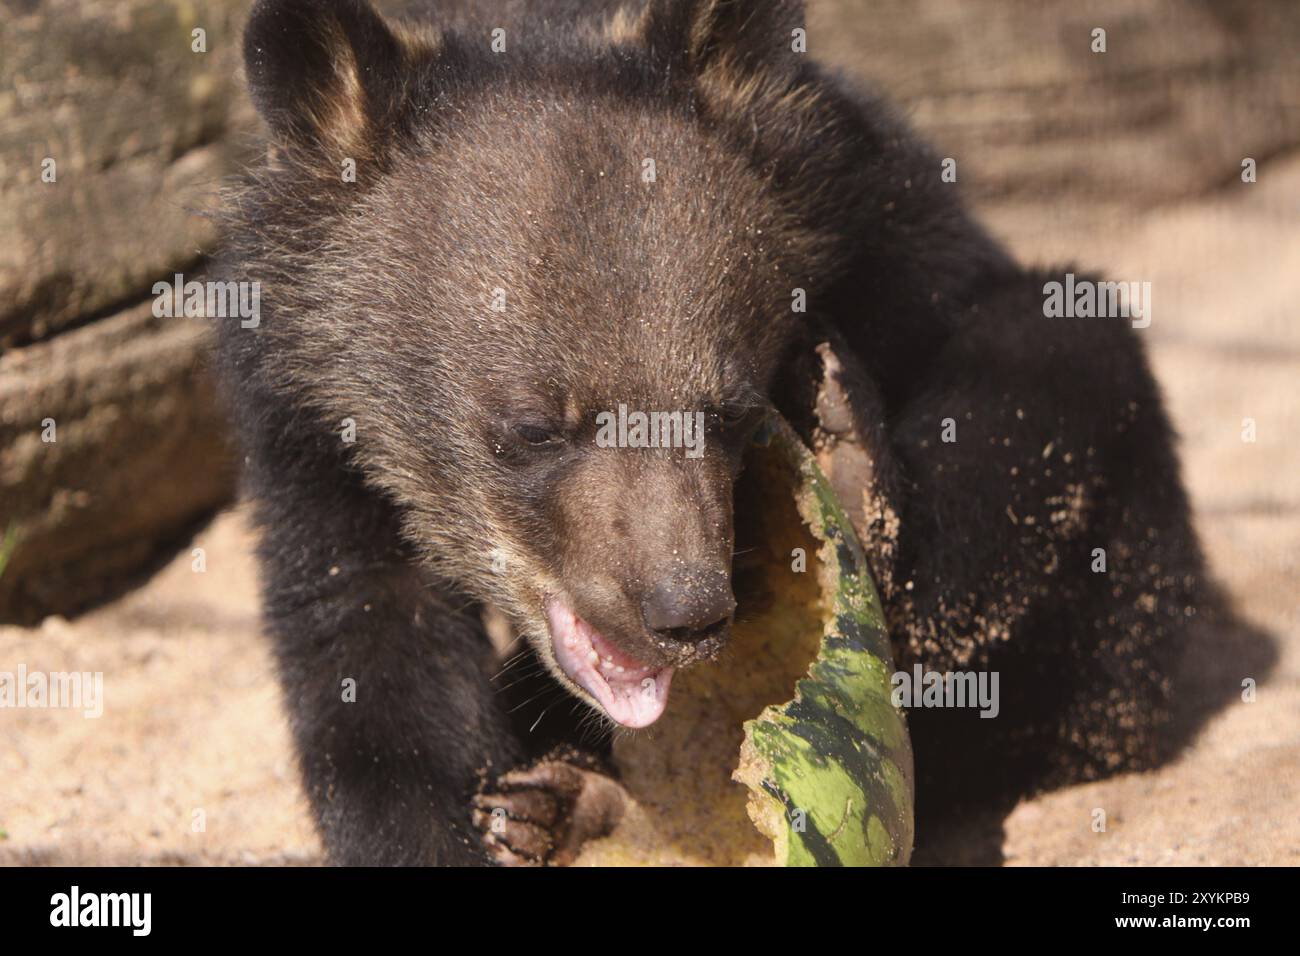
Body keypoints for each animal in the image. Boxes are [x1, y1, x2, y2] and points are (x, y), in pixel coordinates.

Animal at [215, 0, 1207, 865]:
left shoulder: (882, 219)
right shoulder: (308, 439)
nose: (685, 612)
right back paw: (553, 803)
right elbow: (367, 654)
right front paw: (459, 823)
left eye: (724, 410)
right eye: (533, 426)